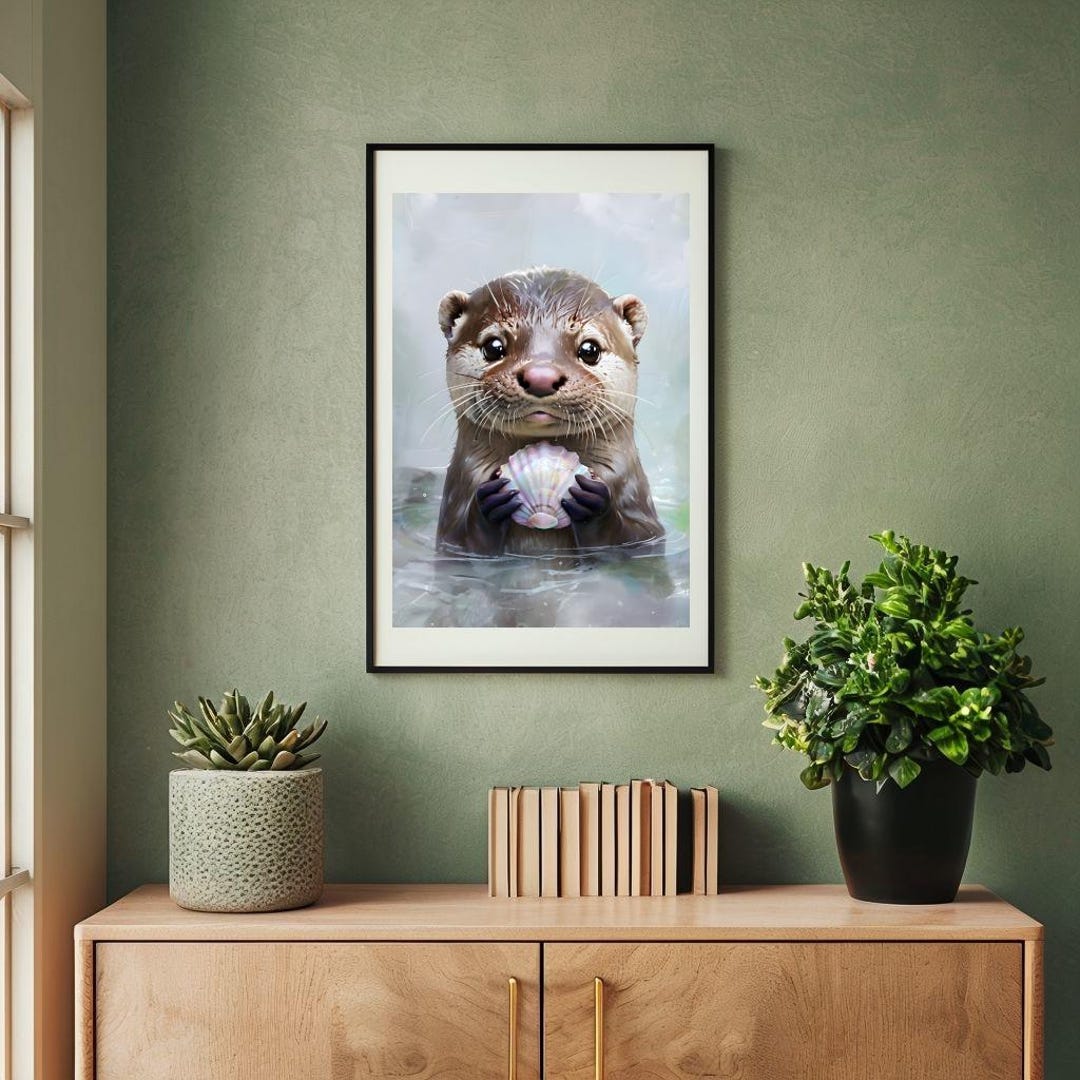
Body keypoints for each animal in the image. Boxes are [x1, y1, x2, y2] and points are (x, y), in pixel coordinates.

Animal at [434, 267, 664, 557]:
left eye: (589, 349)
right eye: (493, 347)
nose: (540, 377)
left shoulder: (643, 519)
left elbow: (631, 536)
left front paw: (592, 501)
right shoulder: (450, 523)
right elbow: (462, 539)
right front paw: (491, 500)